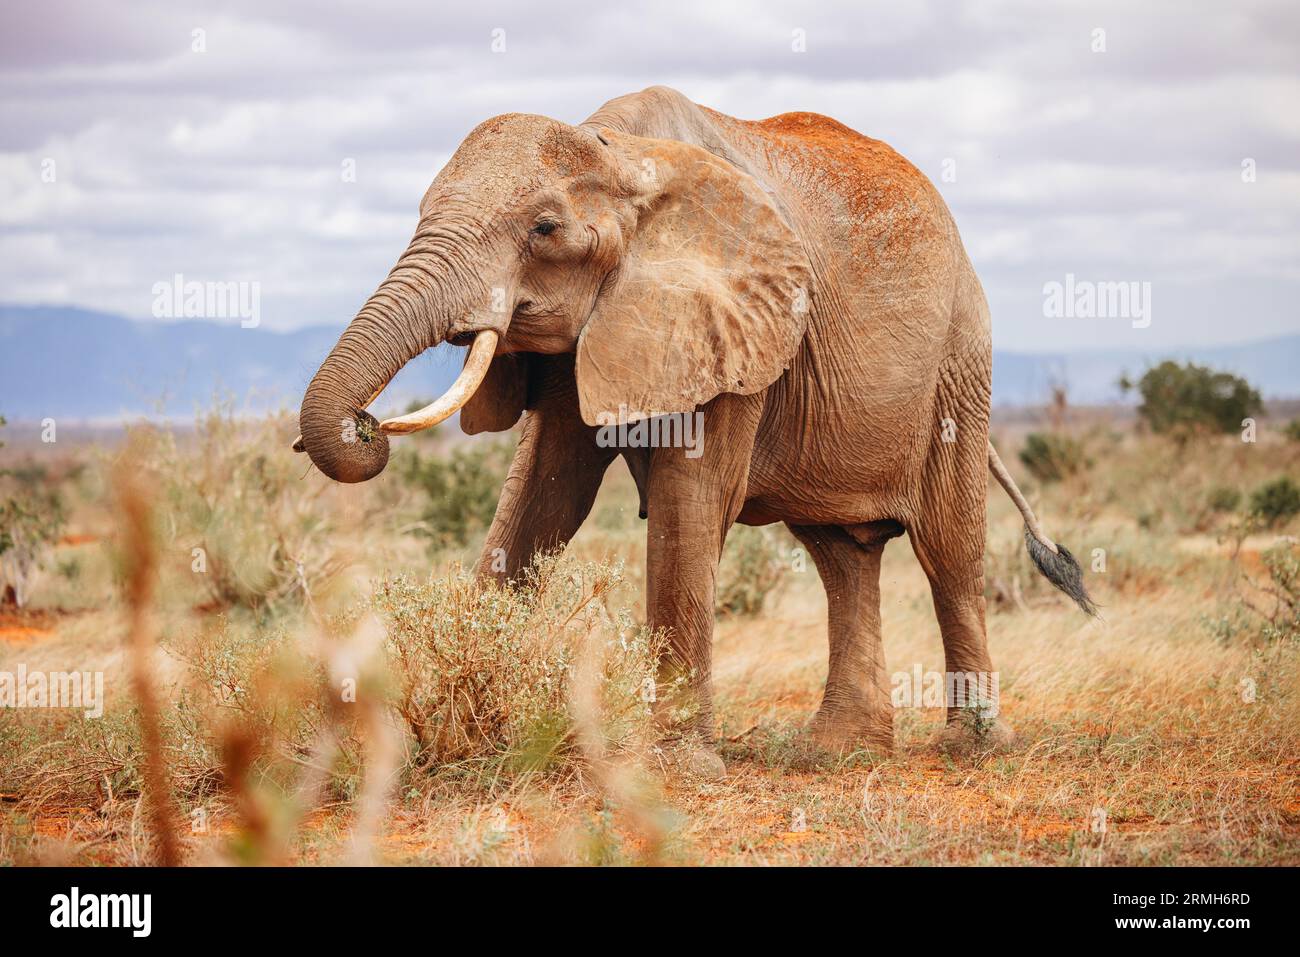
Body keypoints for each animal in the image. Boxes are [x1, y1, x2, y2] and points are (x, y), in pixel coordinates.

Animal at [296, 86, 1093, 776]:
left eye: (544, 229)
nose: (366, 424)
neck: (622, 152)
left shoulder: (736, 323)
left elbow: (691, 505)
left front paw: (680, 770)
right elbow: (545, 495)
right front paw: (454, 723)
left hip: (960, 359)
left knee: (948, 552)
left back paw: (974, 745)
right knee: (843, 556)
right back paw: (837, 750)